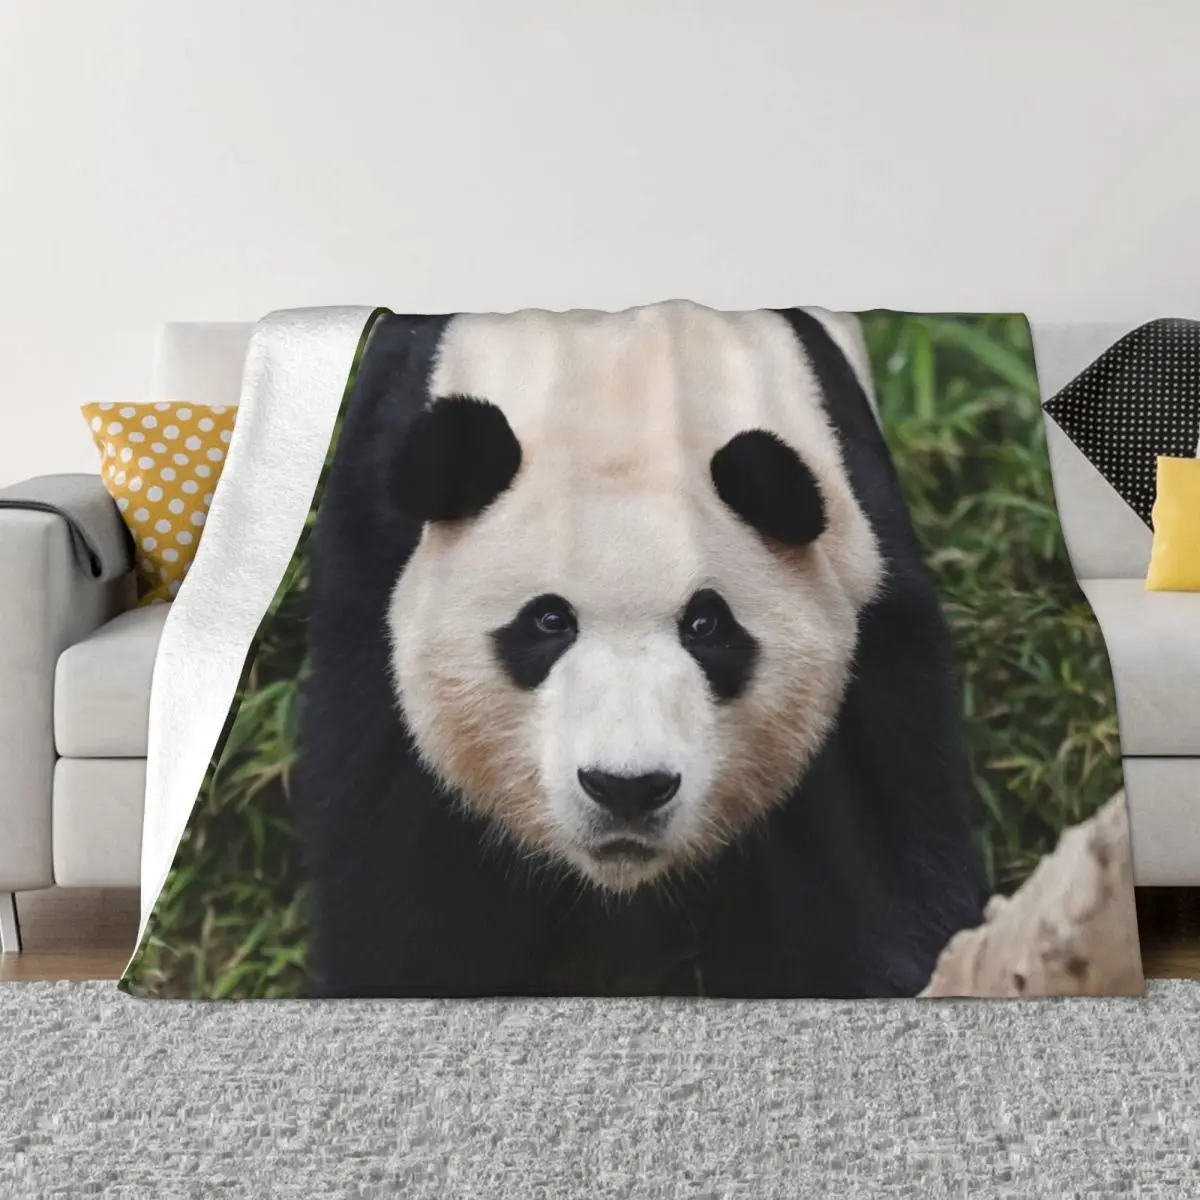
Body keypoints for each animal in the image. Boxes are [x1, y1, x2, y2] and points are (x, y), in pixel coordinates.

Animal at [292, 300, 986, 999]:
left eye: (705, 626)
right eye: (549, 622)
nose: (626, 788)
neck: (622, 391)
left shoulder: (863, 589)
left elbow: (876, 871)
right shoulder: (378, 577)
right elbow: (404, 884)